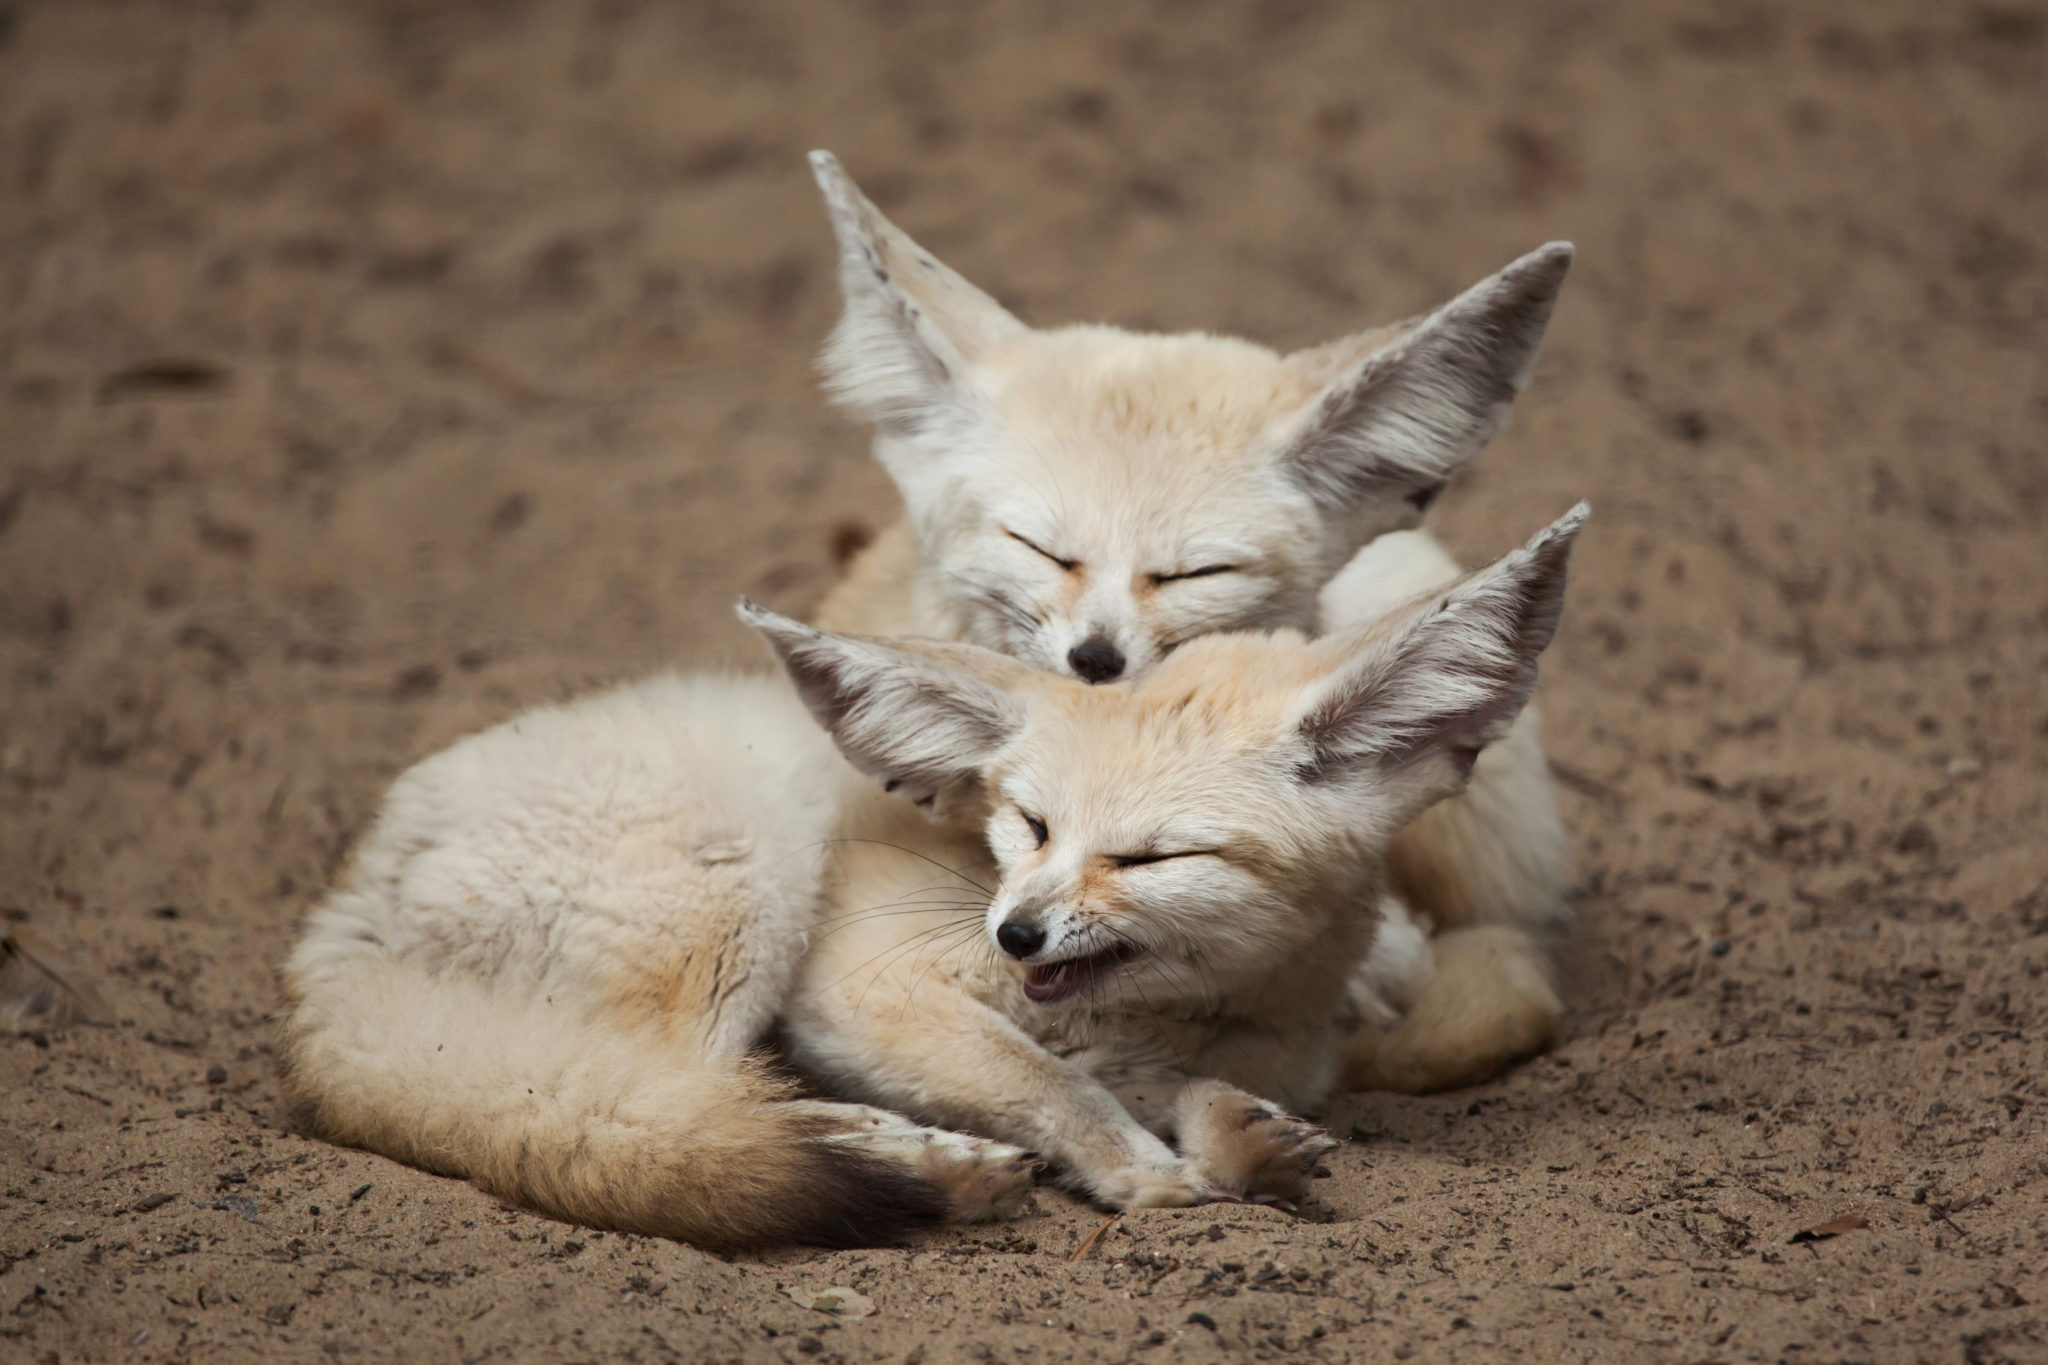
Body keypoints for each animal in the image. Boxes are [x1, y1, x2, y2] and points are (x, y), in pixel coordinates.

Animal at [280, 505, 1585, 1246]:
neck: (1204, 1009)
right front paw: (1145, 1177)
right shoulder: (865, 989)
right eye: (1028, 823)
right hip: (750, 877)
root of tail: (334, 919)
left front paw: (1234, 1144)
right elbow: (1051, 1086)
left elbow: (1171, 1091)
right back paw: (917, 1170)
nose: (1013, 934)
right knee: (669, 1104)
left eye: (1151, 857)